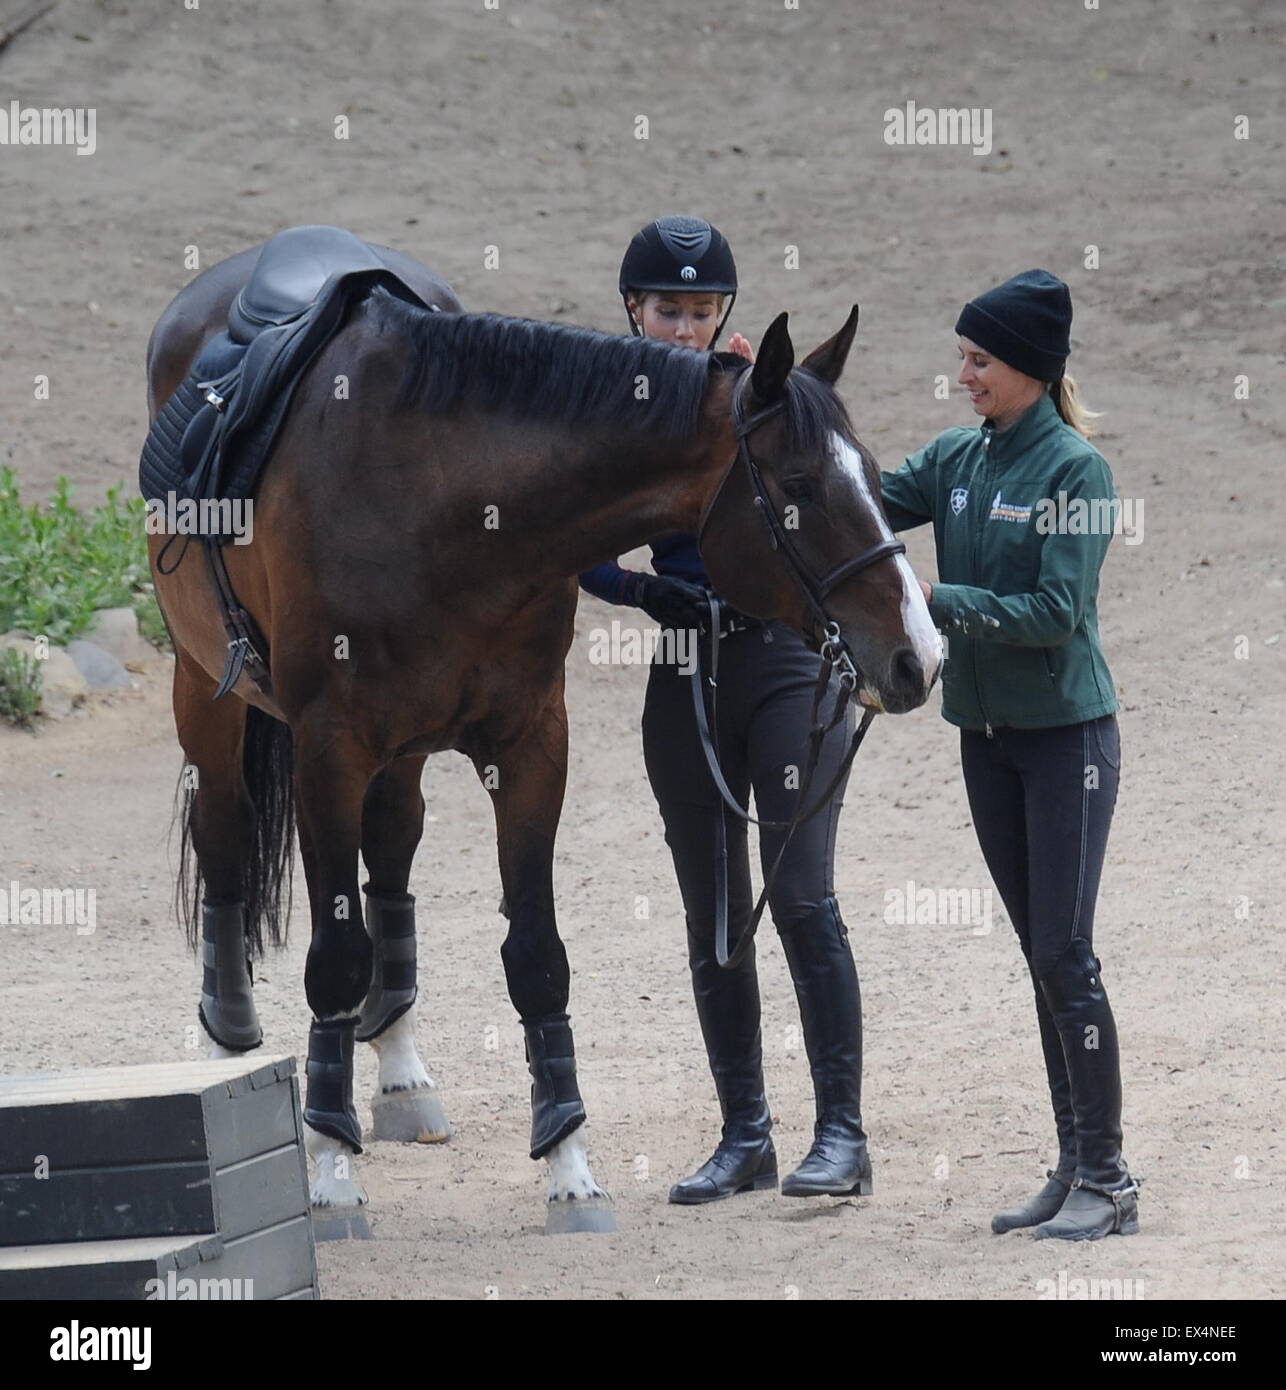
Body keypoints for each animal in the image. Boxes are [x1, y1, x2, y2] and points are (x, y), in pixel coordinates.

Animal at [144, 230, 943, 1235]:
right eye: (798, 487)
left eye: (874, 476)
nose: (921, 654)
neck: (437, 498)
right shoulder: (329, 751)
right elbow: (334, 958)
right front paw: (329, 1174)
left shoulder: (530, 745)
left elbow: (535, 956)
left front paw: (569, 1168)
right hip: (204, 689)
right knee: (224, 840)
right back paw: (227, 1059)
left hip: (399, 755)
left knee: (391, 859)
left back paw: (401, 1074)